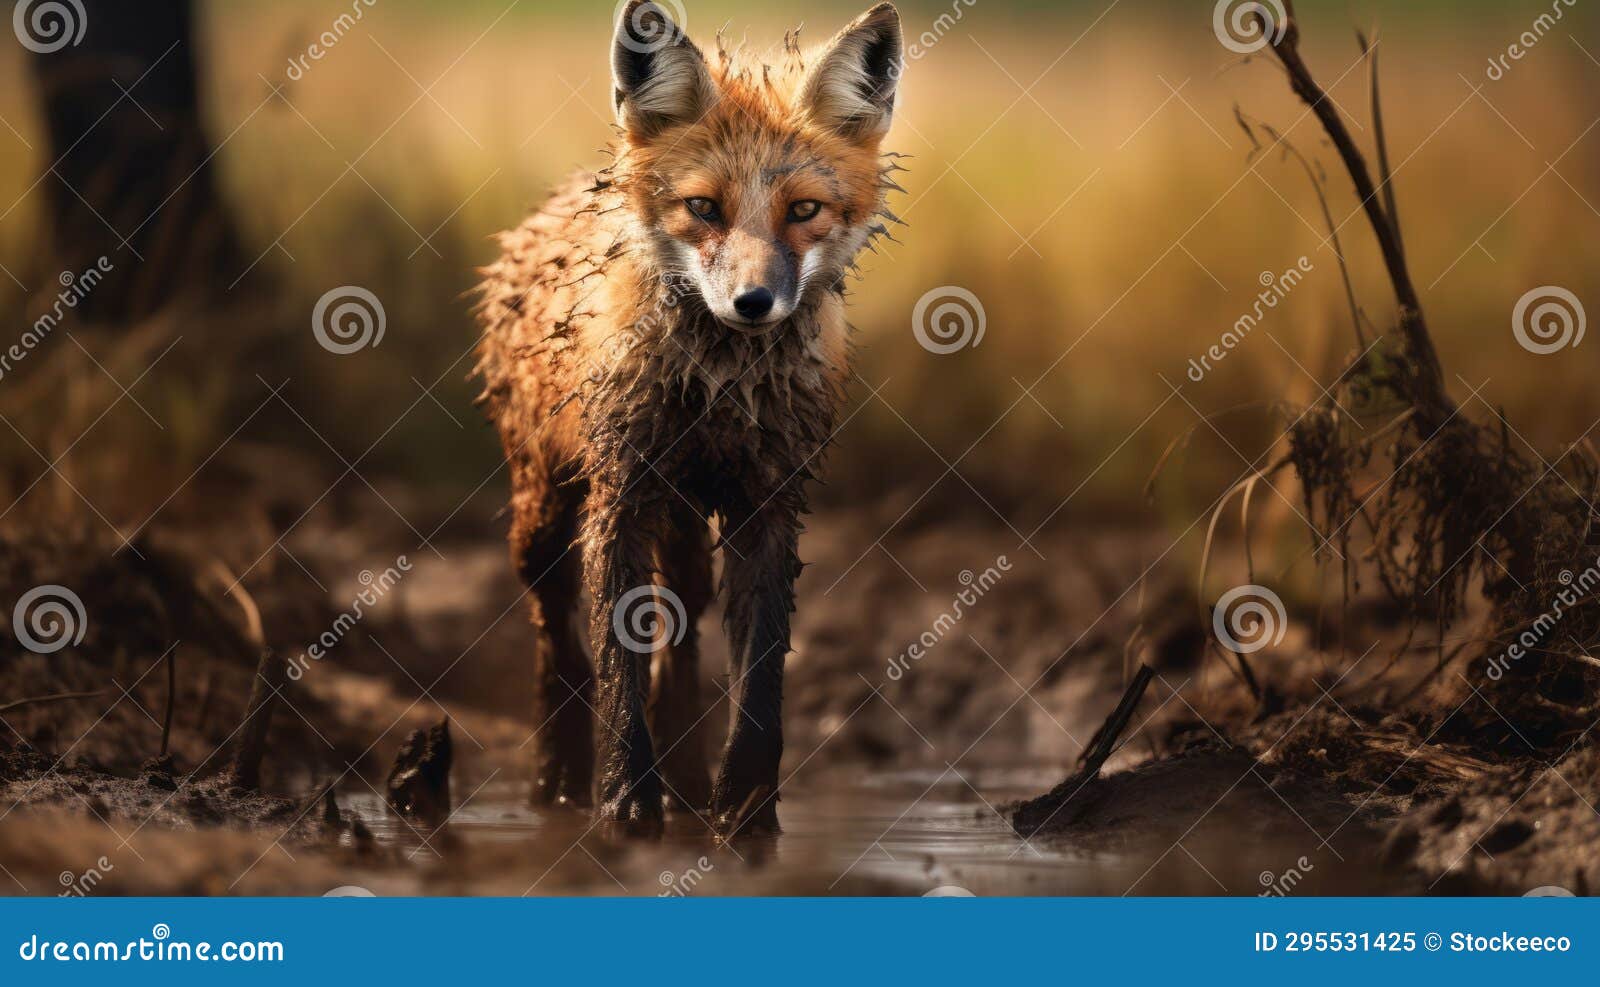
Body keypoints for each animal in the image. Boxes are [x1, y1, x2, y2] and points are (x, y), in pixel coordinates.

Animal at [473, 0, 904, 835]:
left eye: (804, 210)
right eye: (704, 208)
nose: (753, 303)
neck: (718, 389)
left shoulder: (769, 503)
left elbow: (759, 673)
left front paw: (743, 807)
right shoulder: (618, 498)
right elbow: (615, 668)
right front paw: (625, 799)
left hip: (681, 528)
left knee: (680, 637)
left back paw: (686, 775)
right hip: (543, 515)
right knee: (556, 635)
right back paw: (561, 775)